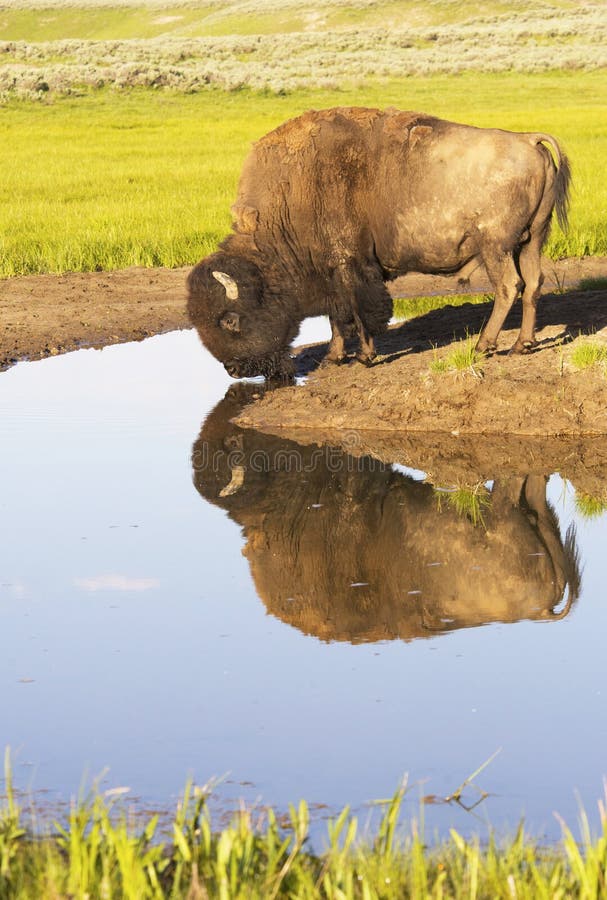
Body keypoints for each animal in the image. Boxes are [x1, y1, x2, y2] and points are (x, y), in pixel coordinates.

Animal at [188, 106, 571, 378]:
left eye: (230, 320)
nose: (235, 370)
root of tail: (528, 140)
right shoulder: (332, 271)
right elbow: (337, 315)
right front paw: (334, 356)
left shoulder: (352, 264)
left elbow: (360, 311)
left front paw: (365, 356)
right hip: (531, 241)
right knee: (533, 284)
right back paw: (522, 345)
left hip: (496, 247)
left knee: (509, 286)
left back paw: (483, 345)